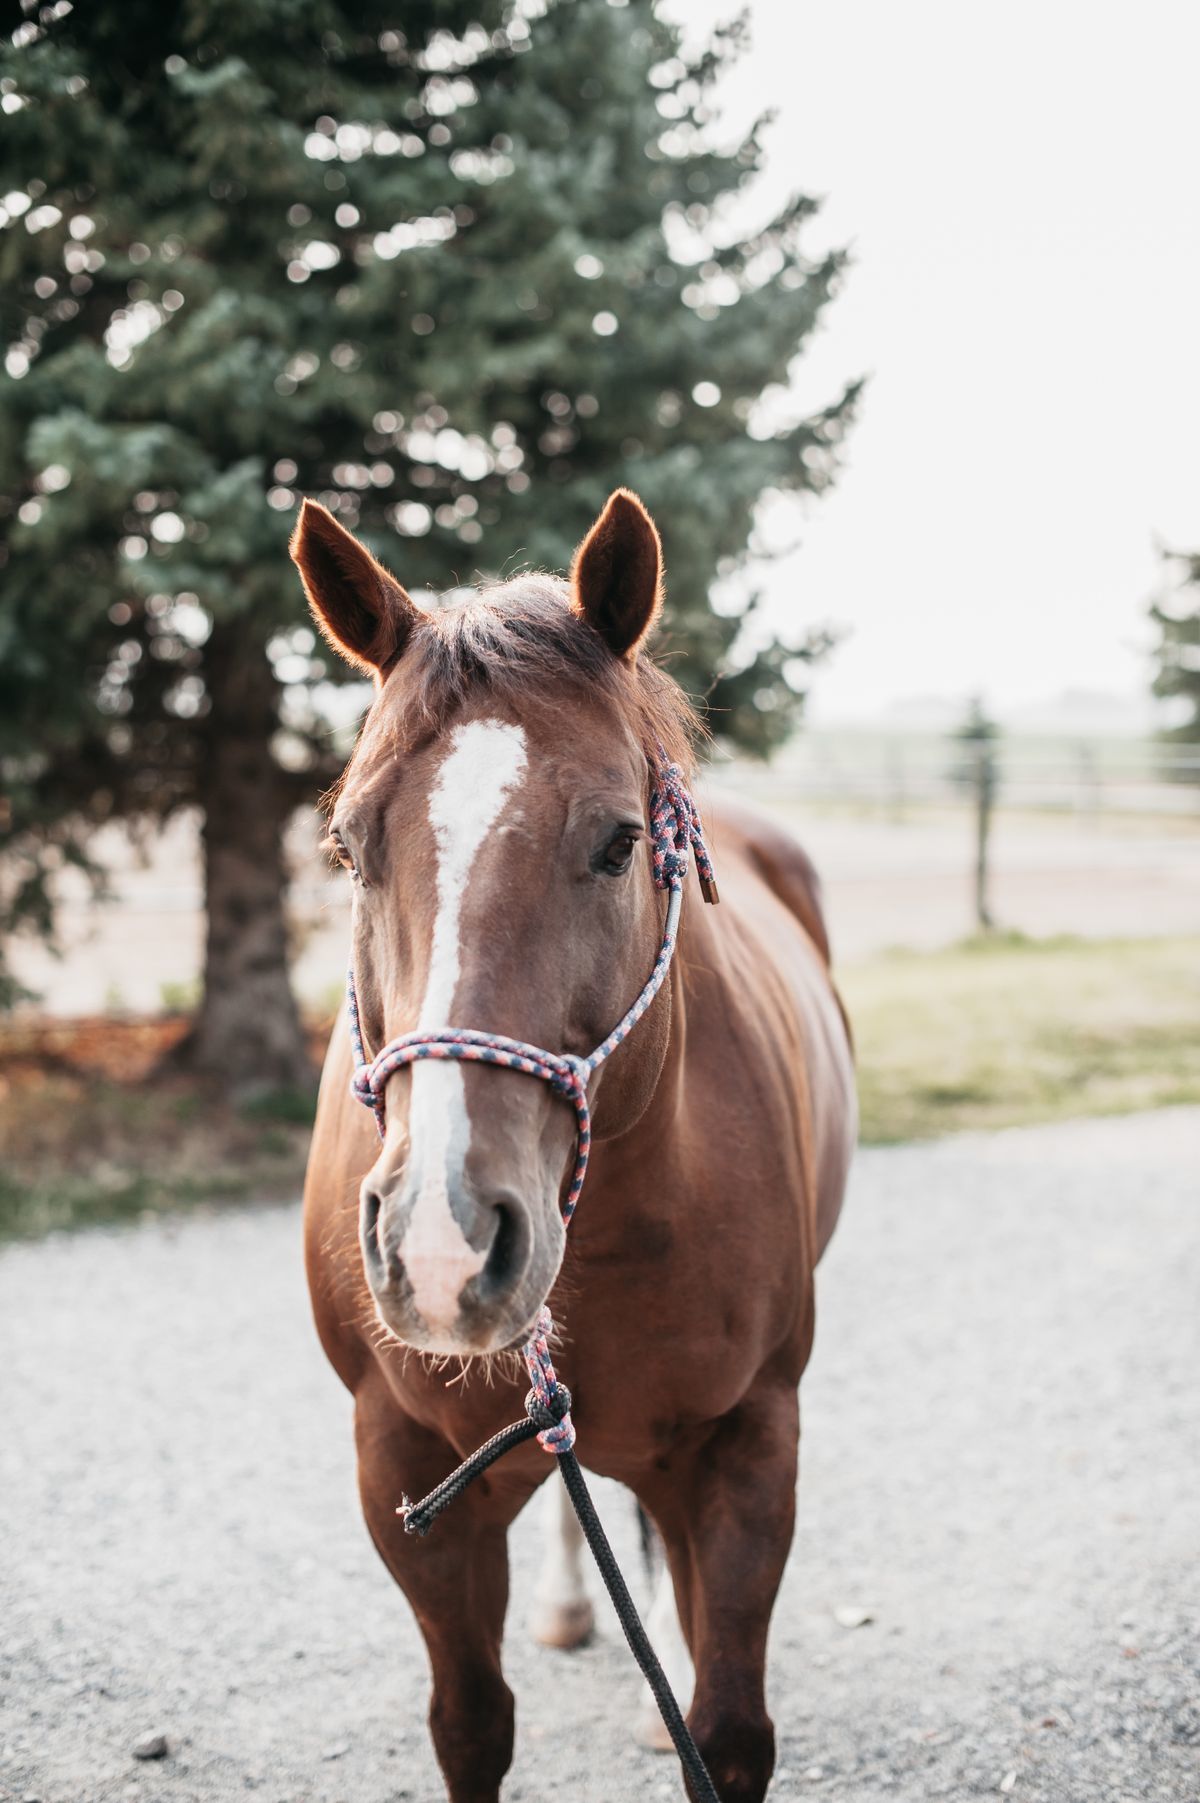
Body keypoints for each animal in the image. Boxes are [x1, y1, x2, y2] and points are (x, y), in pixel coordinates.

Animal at [291, 487, 857, 1803]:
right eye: (348, 846)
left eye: (615, 842)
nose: (441, 1242)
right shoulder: (403, 1469)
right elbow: (469, 1725)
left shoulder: (752, 1444)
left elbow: (729, 1728)